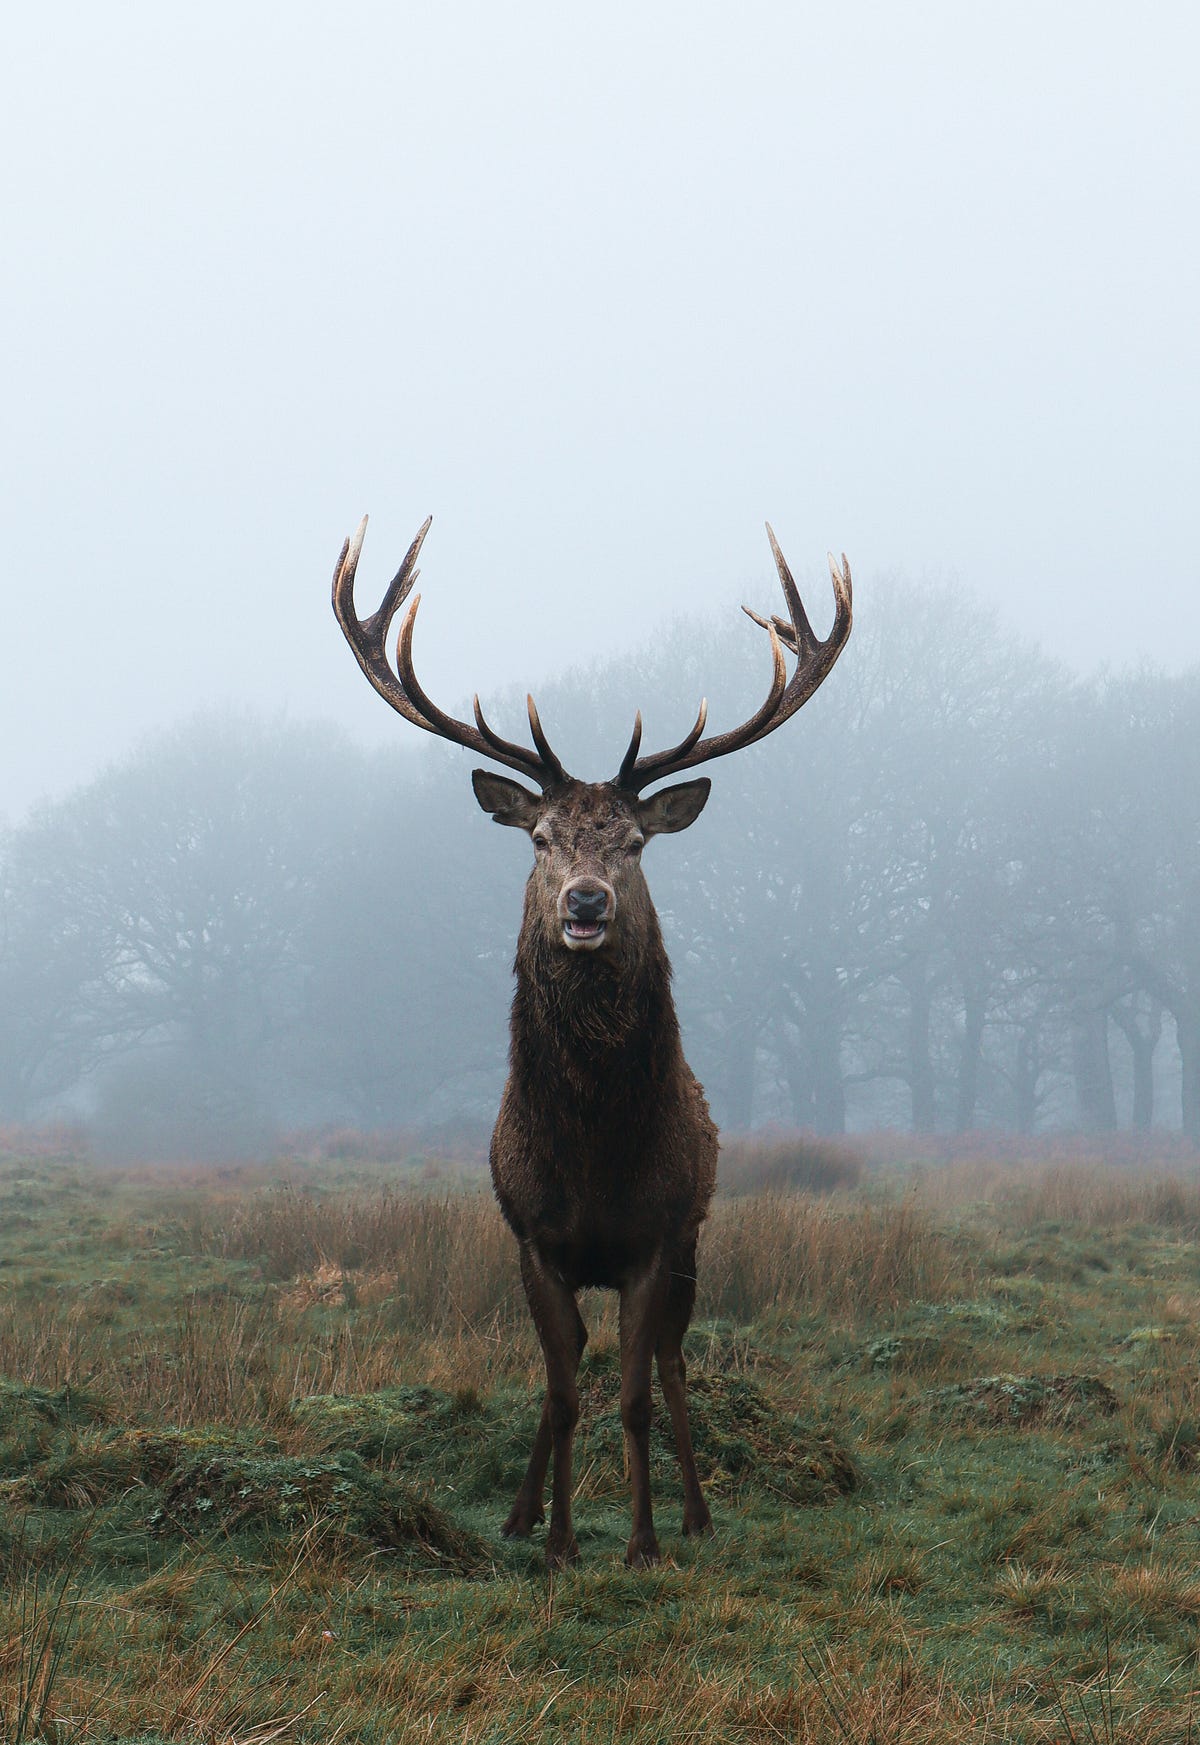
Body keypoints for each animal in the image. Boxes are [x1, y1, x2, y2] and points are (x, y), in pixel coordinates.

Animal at [332, 514, 852, 1568]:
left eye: (635, 844)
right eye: (540, 839)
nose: (585, 903)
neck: (594, 1153)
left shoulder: (657, 1235)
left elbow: (637, 1395)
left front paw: (644, 1538)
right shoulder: (534, 1237)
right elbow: (566, 1390)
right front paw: (560, 1541)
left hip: (695, 1242)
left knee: (674, 1362)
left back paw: (694, 1513)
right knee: (564, 1368)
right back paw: (522, 1512)